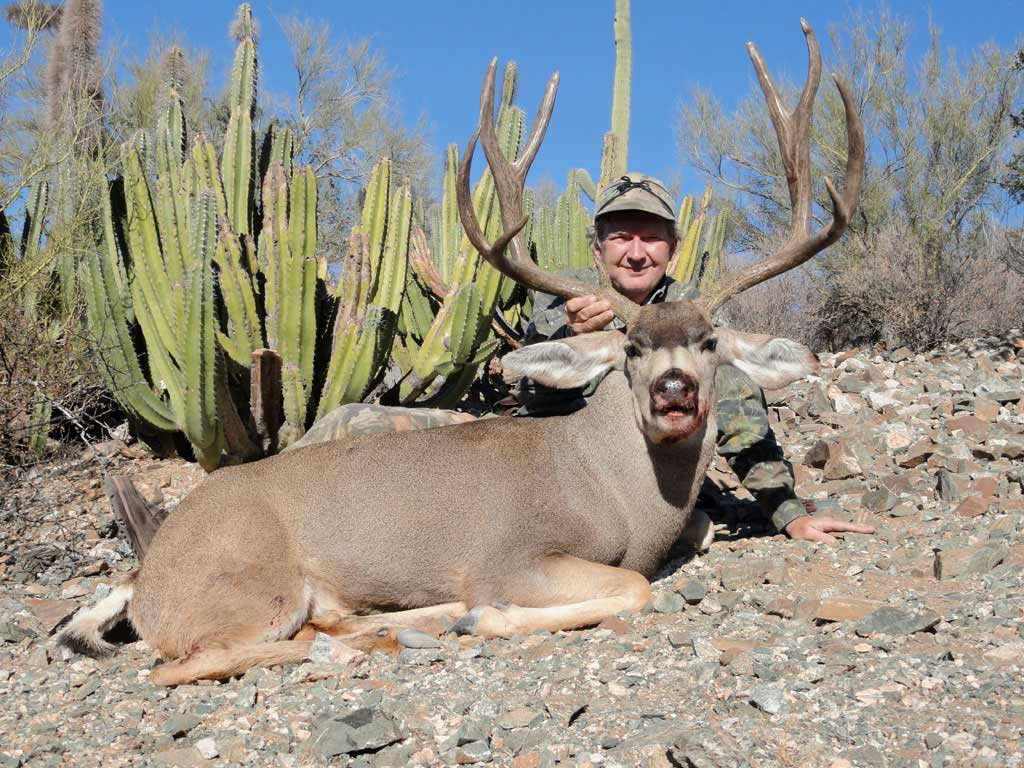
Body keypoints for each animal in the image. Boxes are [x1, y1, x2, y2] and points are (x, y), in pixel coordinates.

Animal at [58, 20, 863, 686]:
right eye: (631, 348)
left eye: (709, 342)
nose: (675, 392)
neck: (616, 491)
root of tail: (149, 578)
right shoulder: (514, 555)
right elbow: (627, 588)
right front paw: (491, 615)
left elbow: (698, 530)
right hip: (252, 586)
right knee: (181, 663)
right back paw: (374, 641)